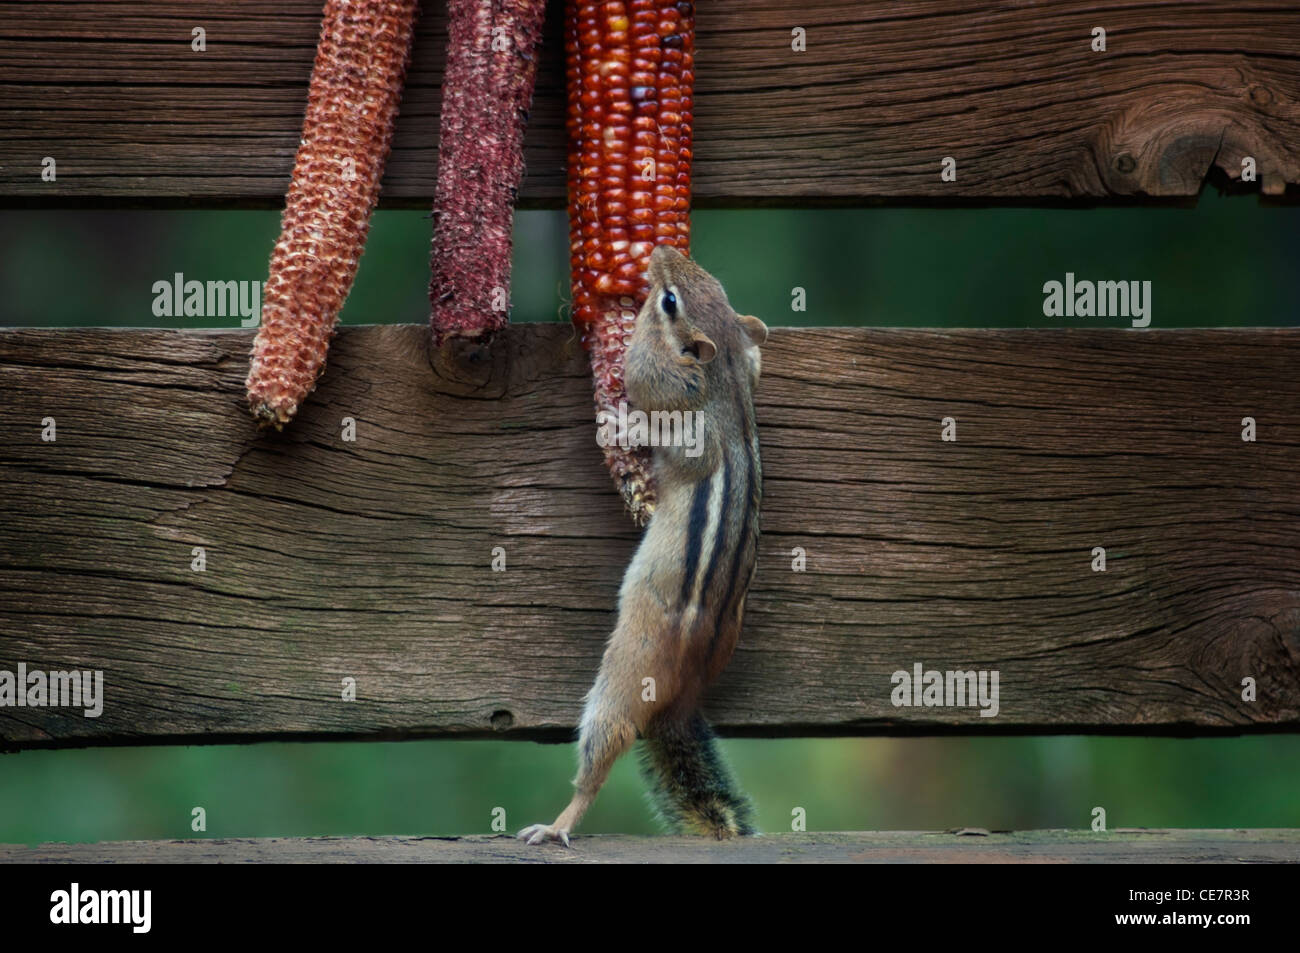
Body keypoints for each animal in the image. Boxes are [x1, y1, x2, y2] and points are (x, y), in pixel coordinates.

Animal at [519, 245, 768, 846]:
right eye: (715, 285)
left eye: (669, 302)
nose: (659, 253)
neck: (724, 376)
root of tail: (682, 697)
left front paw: (625, 422)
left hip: (622, 679)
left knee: (600, 751)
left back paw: (557, 826)